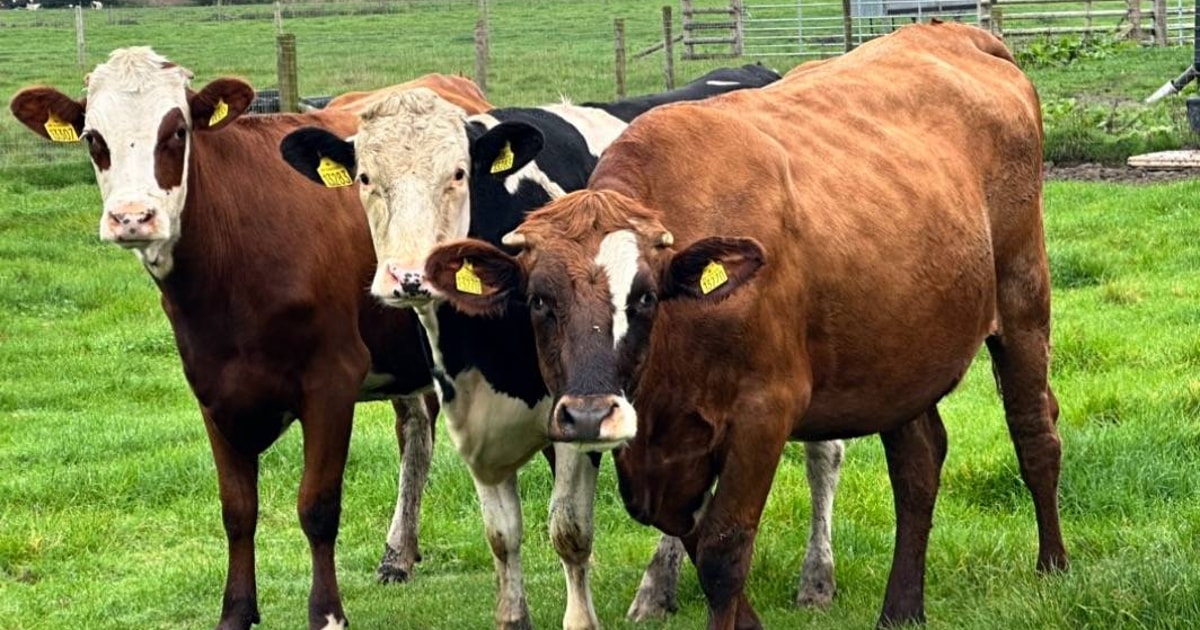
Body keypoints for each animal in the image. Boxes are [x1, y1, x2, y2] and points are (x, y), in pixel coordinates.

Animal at [10, 48, 491, 630]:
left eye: (177, 131)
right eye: (93, 137)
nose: (131, 218)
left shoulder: (331, 380)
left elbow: (317, 506)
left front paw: (327, 613)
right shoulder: (212, 387)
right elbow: (237, 509)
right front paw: (236, 611)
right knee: (415, 430)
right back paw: (399, 553)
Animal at [277, 64, 845, 628]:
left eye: (458, 174)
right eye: (365, 179)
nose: (409, 277)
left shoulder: (580, 411)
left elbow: (569, 529)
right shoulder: (472, 417)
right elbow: (502, 536)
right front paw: (513, 614)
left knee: (823, 454)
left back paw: (814, 579)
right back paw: (658, 586)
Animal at [420, 22, 1068, 629]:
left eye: (645, 297)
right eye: (539, 301)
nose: (585, 415)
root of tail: (956, 33)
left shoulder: (765, 412)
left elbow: (723, 548)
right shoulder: (658, 450)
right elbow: (688, 530)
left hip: (1023, 300)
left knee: (1034, 431)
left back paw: (1052, 566)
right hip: (901, 358)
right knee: (918, 467)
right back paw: (901, 608)